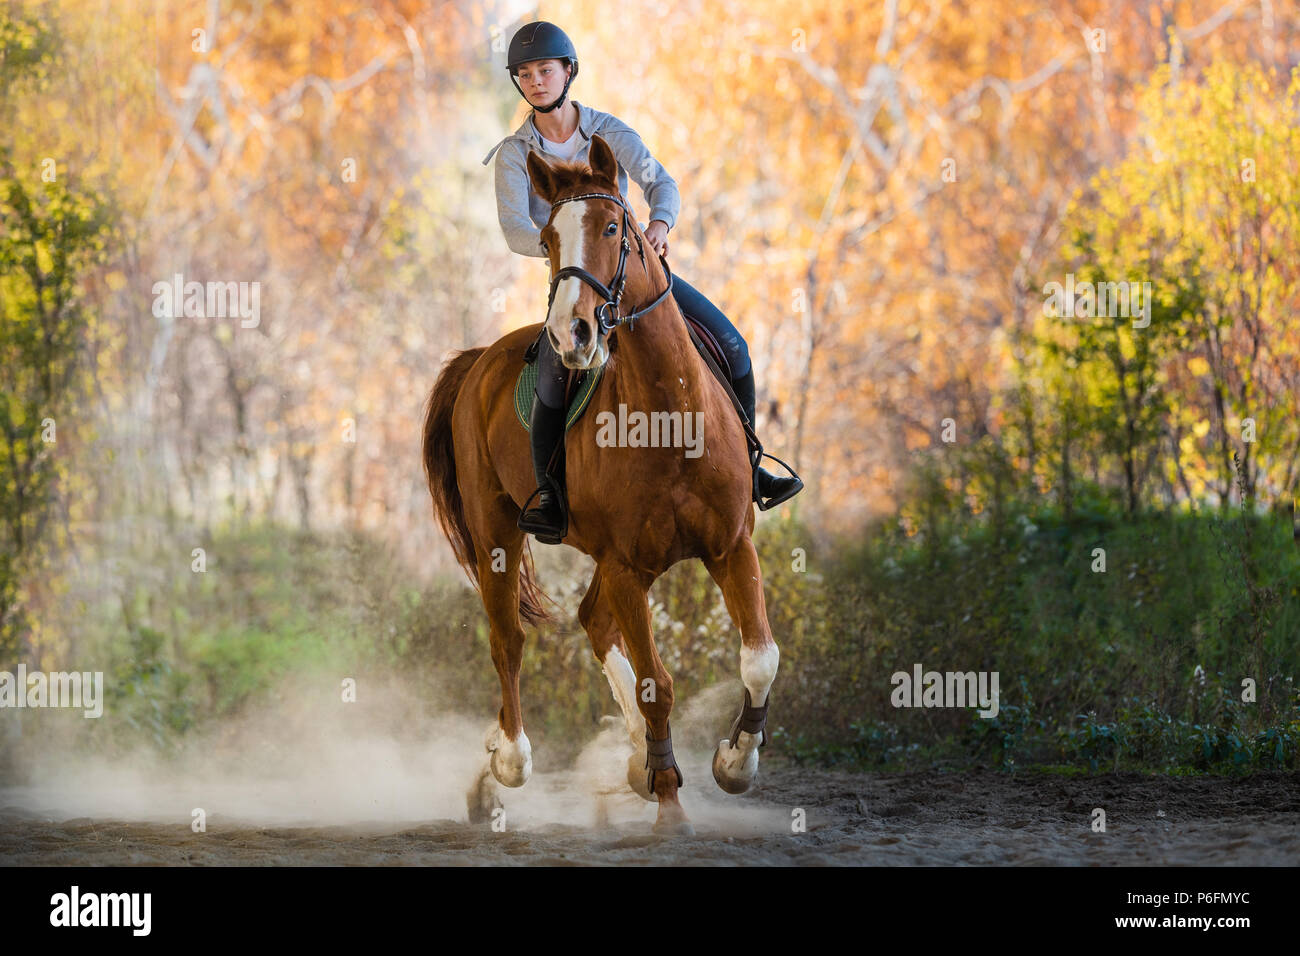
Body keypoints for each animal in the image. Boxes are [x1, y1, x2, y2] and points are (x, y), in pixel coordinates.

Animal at [421, 134, 778, 834]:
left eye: (614, 227)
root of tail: (478, 361)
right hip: (498, 533)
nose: (573, 333)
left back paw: (627, 761)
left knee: (591, 623)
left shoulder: (730, 546)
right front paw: (670, 805)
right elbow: (656, 684)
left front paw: (733, 765)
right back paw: (508, 762)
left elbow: (759, 659)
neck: (669, 413)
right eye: (549, 240)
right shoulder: (624, 566)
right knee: (509, 641)